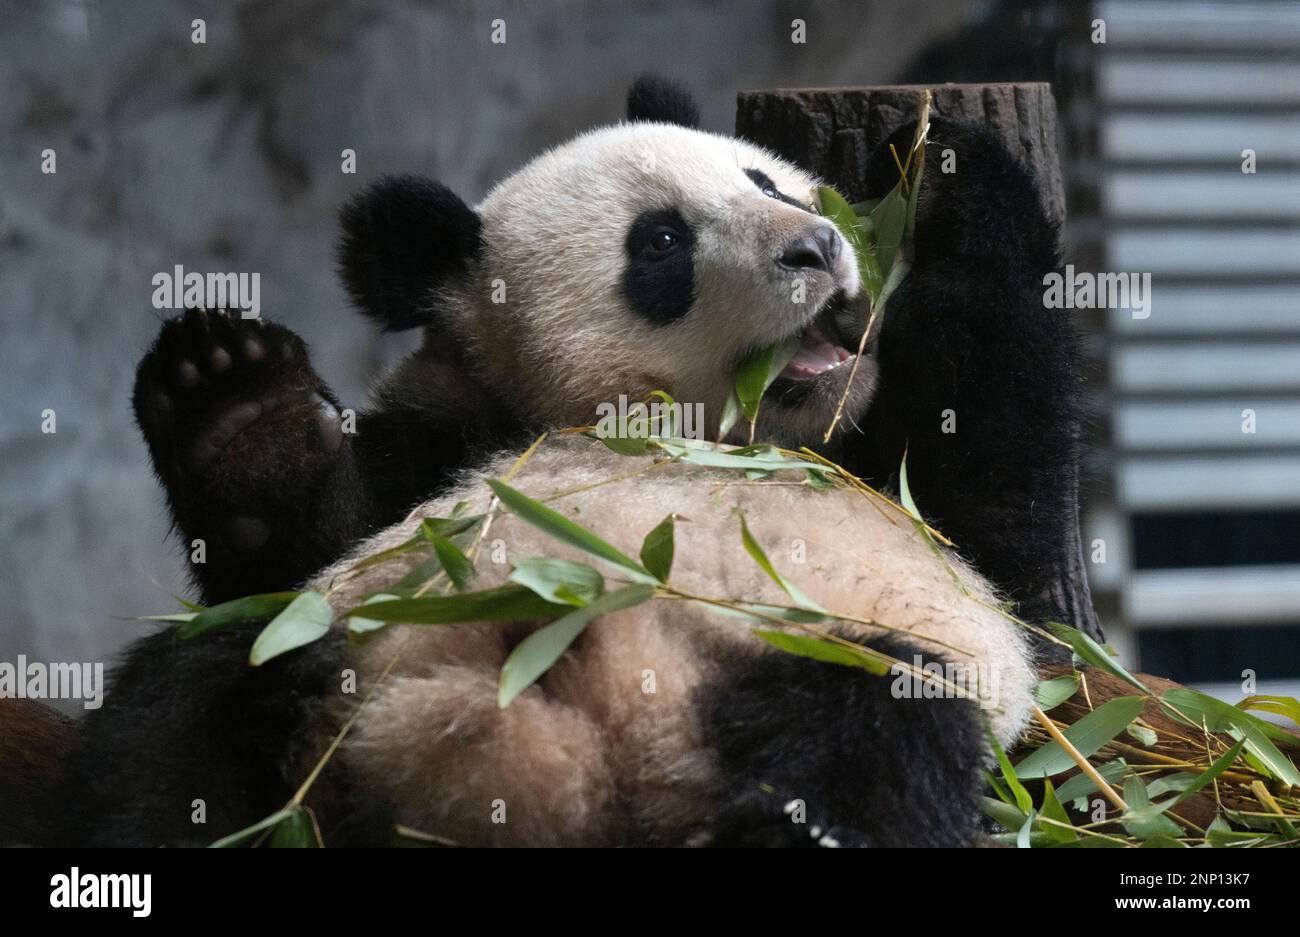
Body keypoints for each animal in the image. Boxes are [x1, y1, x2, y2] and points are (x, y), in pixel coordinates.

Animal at [53, 77, 1090, 847]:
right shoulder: (455, 440)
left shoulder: (875, 484)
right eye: (661, 241)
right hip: (348, 645)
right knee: (180, 712)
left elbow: (991, 510)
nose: (818, 244)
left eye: (768, 183)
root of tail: (556, 740)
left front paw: (943, 166)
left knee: (881, 723)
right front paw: (242, 416)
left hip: (809, 641)